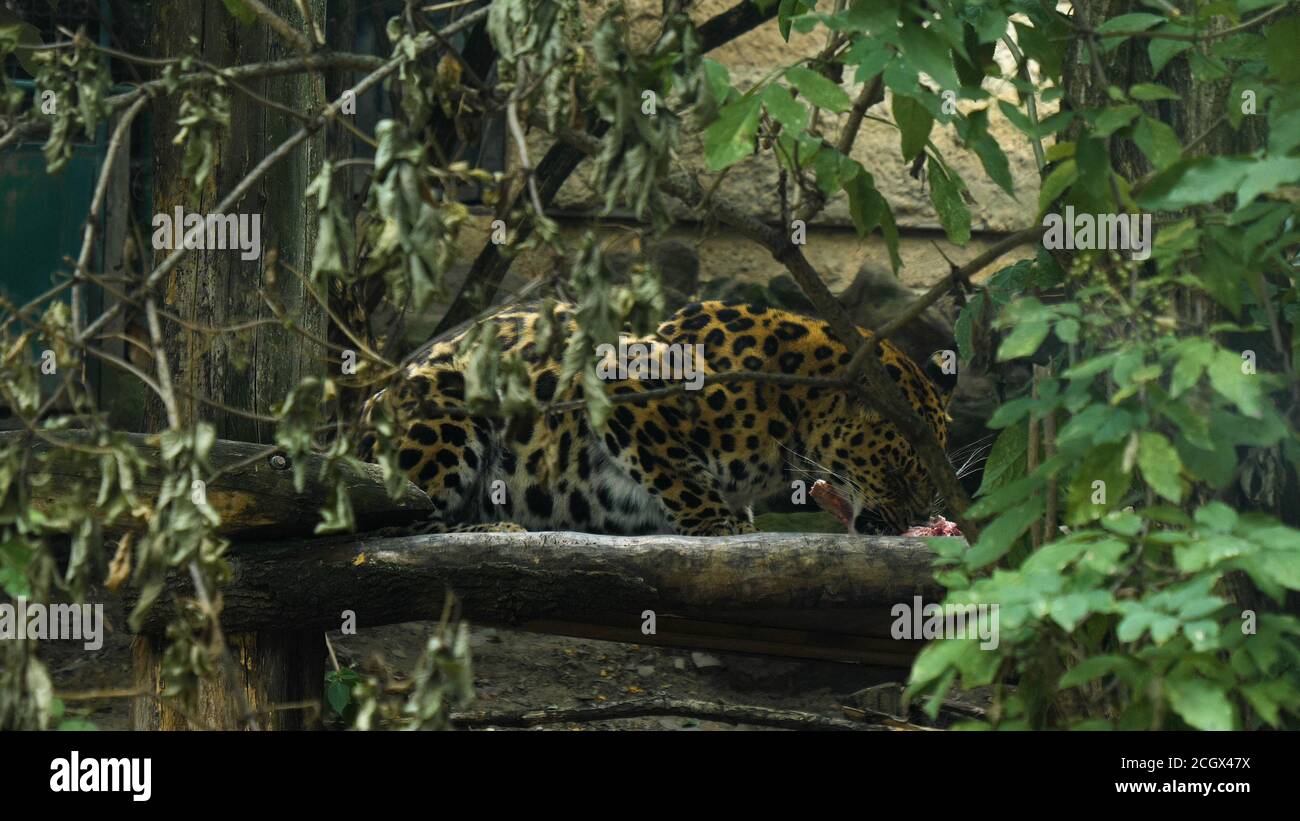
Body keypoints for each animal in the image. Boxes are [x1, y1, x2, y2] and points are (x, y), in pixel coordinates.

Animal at [359, 300, 957, 537]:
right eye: (899, 472)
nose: (916, 520)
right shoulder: (620, 379)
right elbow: (675, 469)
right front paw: (717, 524)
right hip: (446, 403)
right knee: (404, 521)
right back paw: (495, 526)